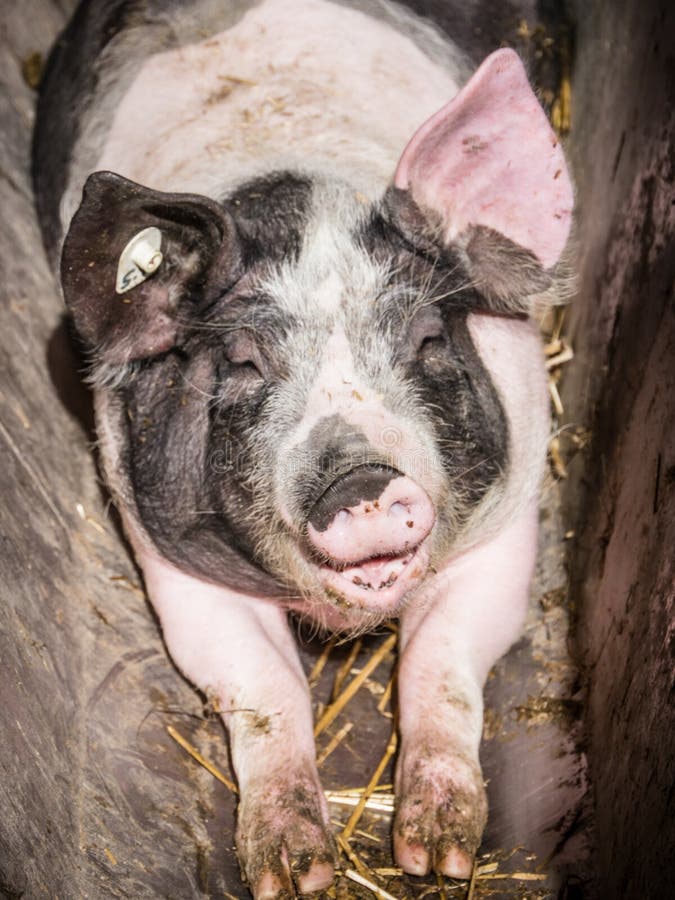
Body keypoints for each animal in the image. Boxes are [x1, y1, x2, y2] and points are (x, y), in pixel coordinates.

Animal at [33, 0, 573, 896]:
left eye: (428, 338)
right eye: (245, 363)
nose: (359, 480)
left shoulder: (508, 516)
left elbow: (441, 659)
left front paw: (436, 856)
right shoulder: (169, 556)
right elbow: (262, 689)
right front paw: (295, 873)